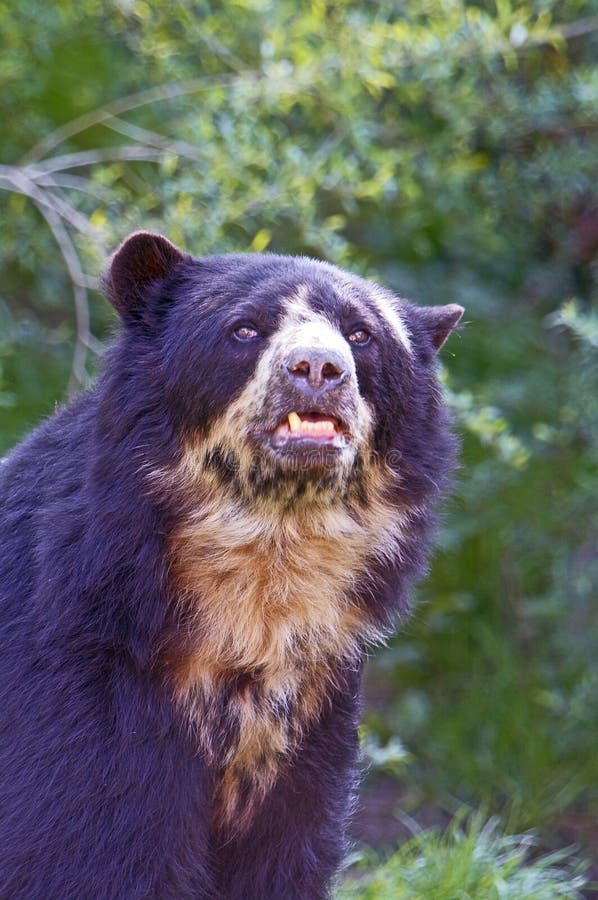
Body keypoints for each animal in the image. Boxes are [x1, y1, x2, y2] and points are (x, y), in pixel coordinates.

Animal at [0, 232, 463, 899]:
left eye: (360, 335)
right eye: (245, 329)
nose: (318, 370)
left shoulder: (308, 719)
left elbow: (284, 856)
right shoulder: (81, 681)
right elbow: (86, 845)